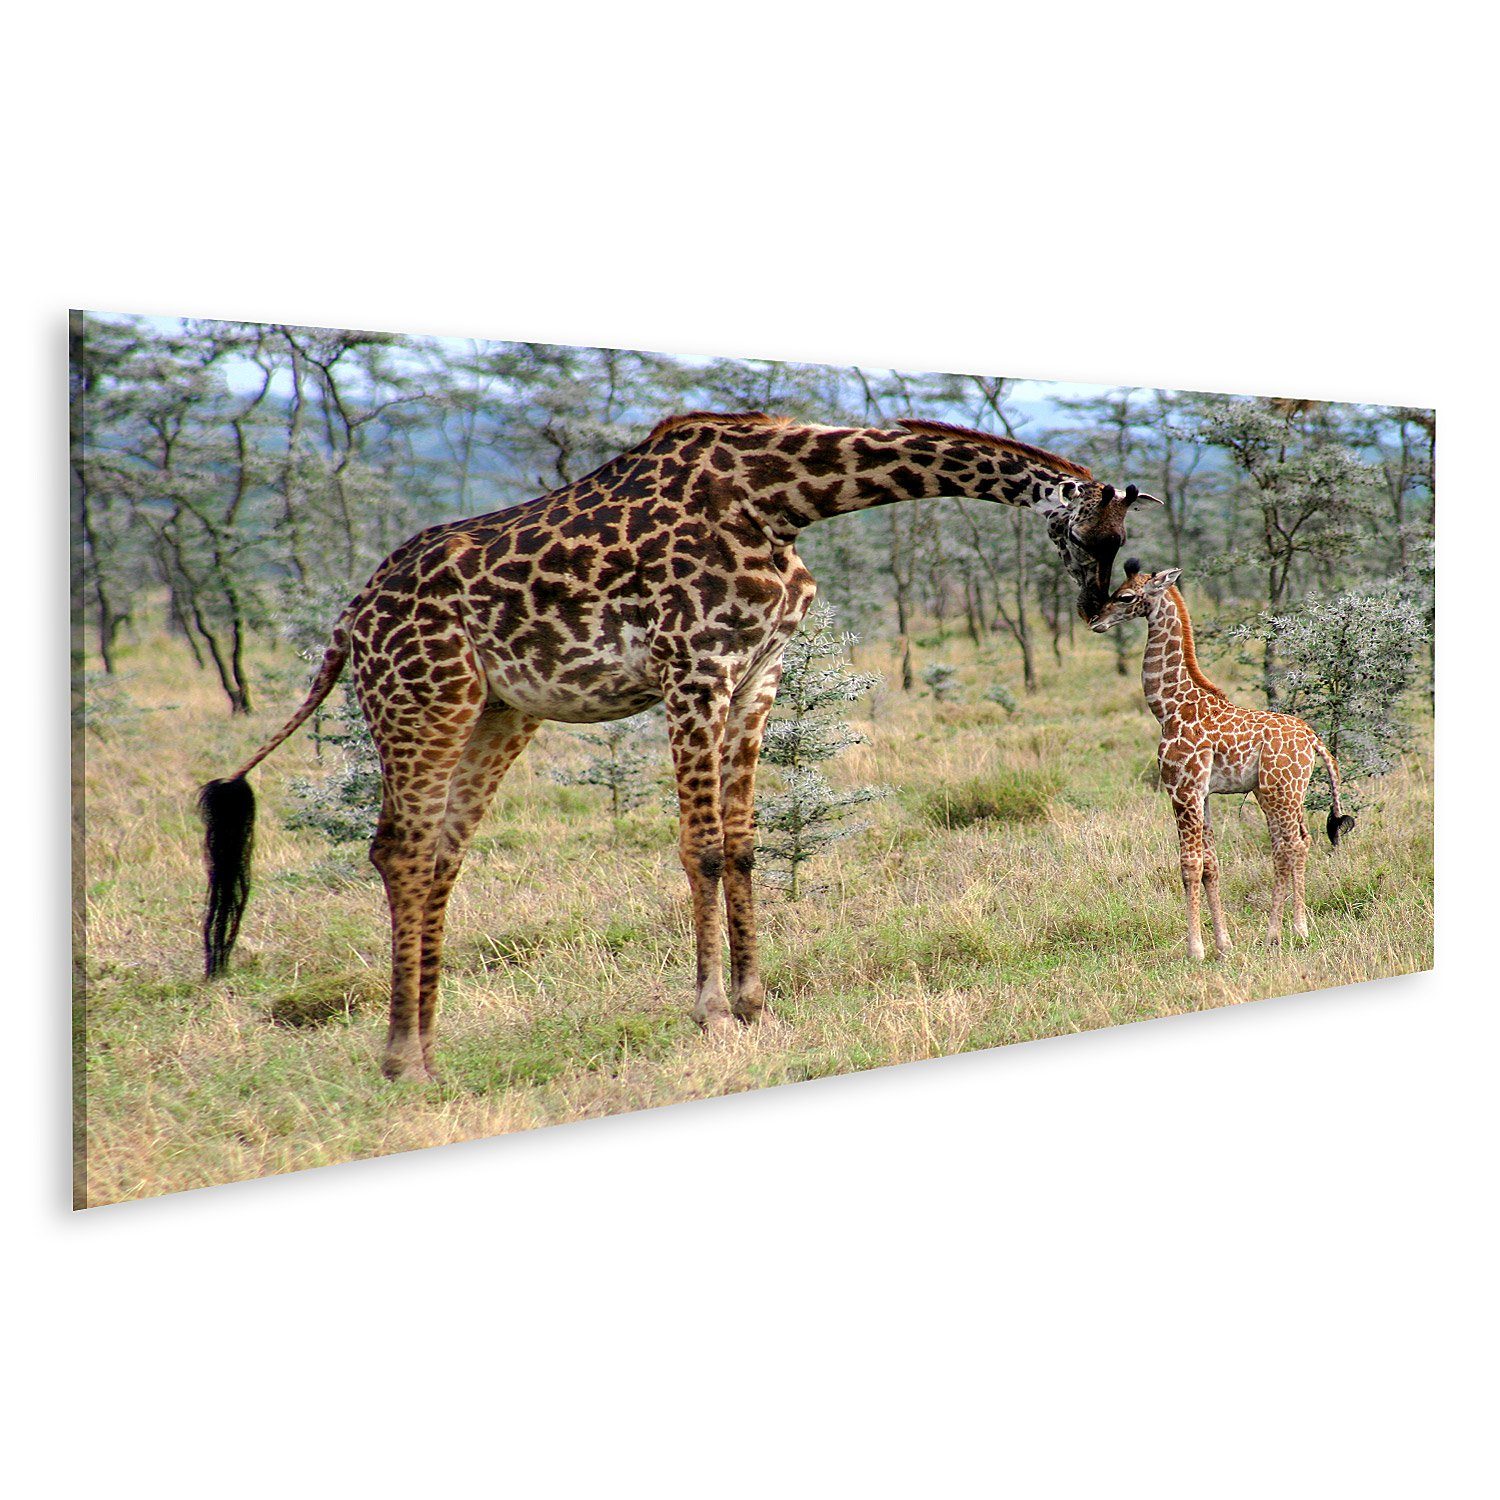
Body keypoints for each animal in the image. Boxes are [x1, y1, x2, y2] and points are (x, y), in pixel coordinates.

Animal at [199, 412, 1158, 1081]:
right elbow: (700, 849)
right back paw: (400, 1059)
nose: (1092, 607)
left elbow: (743, 846)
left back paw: (432, 1050)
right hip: (424, 696)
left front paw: (757, 1002)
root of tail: (349, 619)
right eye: (1083, 532)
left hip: (499, 712)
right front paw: (710, 1014)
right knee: (397, 848)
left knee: (437, 853)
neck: (783, 498)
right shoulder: (693, 668)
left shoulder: (759, 674)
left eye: (1123, 544)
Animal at [1089, 562, 1354, 960]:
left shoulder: (1182, 791)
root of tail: (1314, 739)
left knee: (1292, 844)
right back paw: (1278, 932)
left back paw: (1293, 930)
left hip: (1280, 790)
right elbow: (1211, 866)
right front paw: (1223, 944)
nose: (1096, 621)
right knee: (1293, 843)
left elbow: (1189, 865)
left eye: (1125, 596)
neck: (1168, 708)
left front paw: (1195, 950)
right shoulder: (1203, 795)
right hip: (1279, 793)